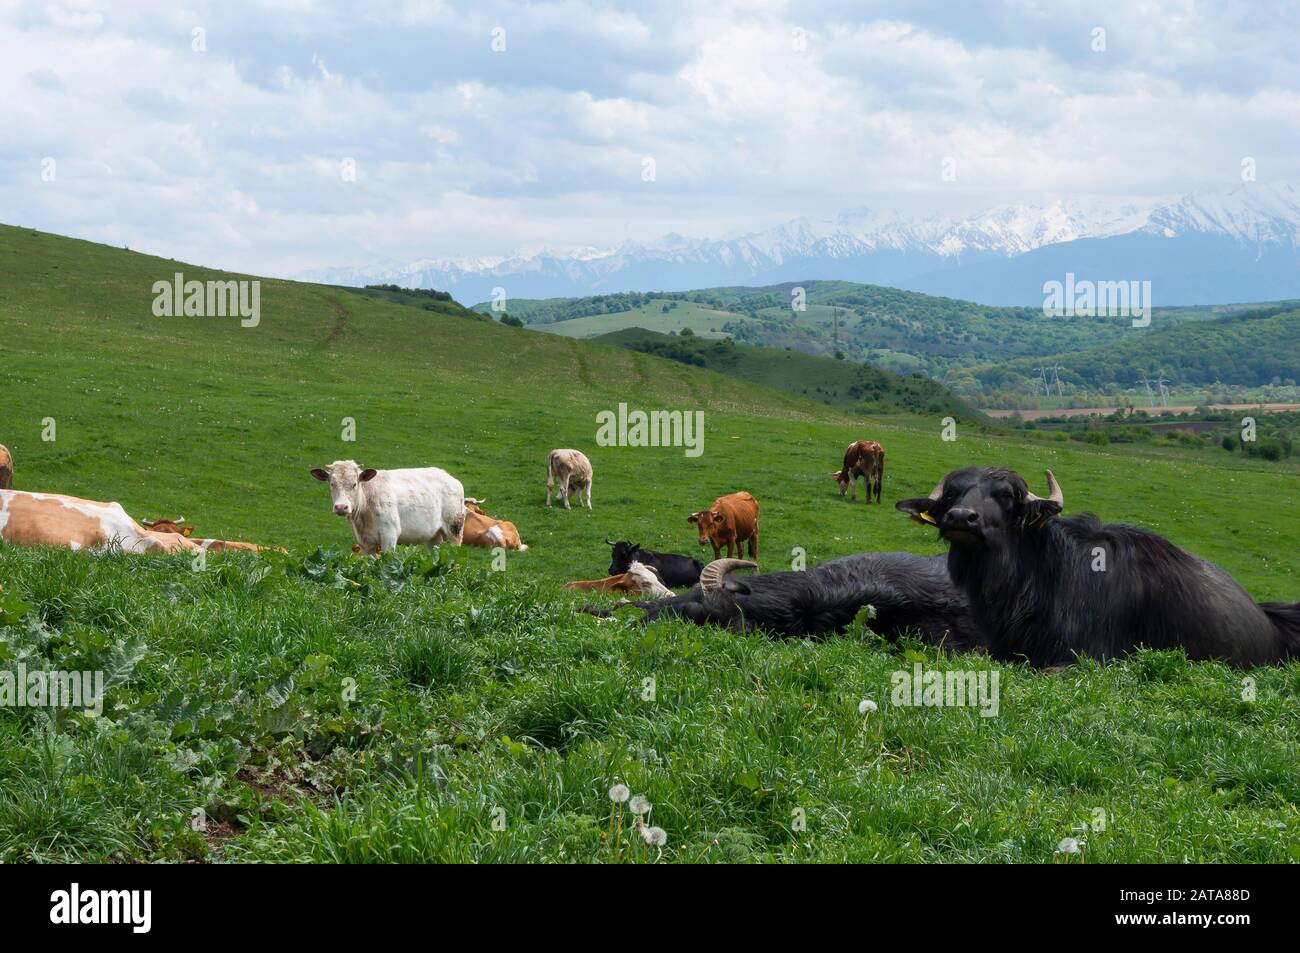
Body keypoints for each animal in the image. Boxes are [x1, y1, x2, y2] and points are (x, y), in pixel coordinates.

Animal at [310, 459, 465, 555]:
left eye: (354, 484)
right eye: (332, 484)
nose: (341, 507)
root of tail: (447, 475)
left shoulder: (389, 536)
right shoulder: (364, 543)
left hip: (454, 528)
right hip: (433, 536)